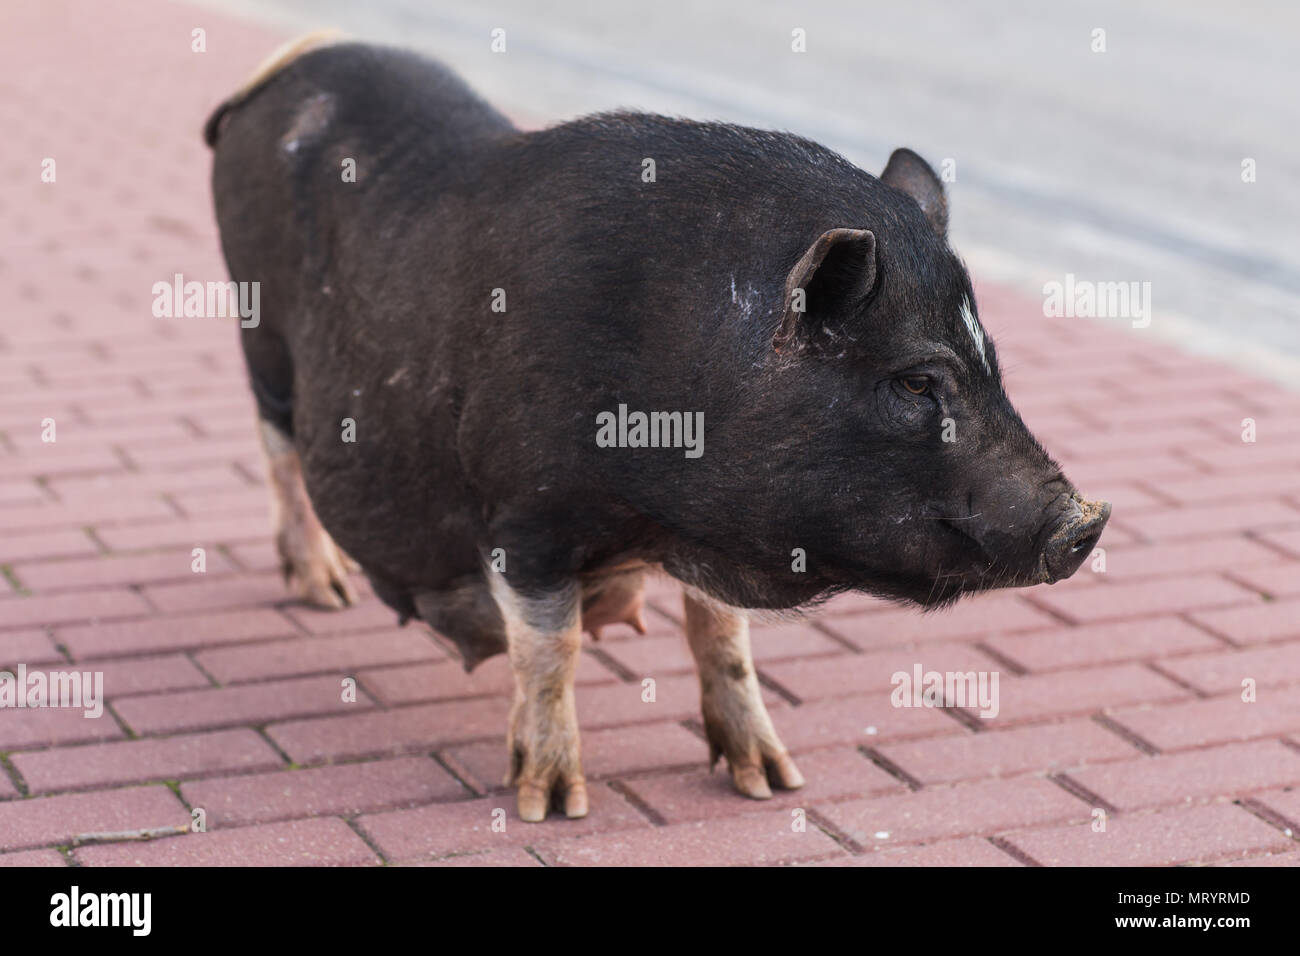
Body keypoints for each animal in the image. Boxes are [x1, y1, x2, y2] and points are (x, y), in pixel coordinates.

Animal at [205, 35, 1110, 822]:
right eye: (917, 381)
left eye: (991, 362)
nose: (1085, 521)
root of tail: (275, 75)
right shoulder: (524, 511)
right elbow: (551, 648)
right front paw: (552, 806)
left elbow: (722, 637)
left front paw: (773, 783)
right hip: (262, 340)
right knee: (277, 449)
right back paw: (323, 591)